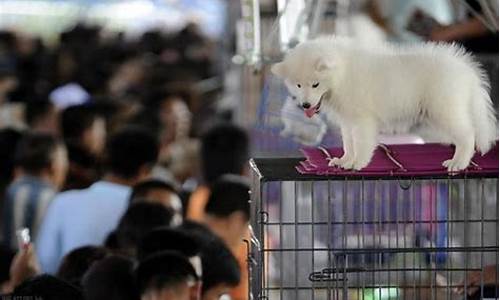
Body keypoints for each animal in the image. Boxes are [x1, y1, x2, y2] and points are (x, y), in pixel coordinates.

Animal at [272, 35, 498, 171]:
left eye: (316, 84)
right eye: (298, 85)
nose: (305, 106)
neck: (341, 75)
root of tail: (467, 71)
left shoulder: (362, 119)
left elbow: (361, 143)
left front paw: (357, 163)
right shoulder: (348, 120)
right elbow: (348, 143)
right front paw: (344, 160)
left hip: (444, 109)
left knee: (467, 135)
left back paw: (458, 162)